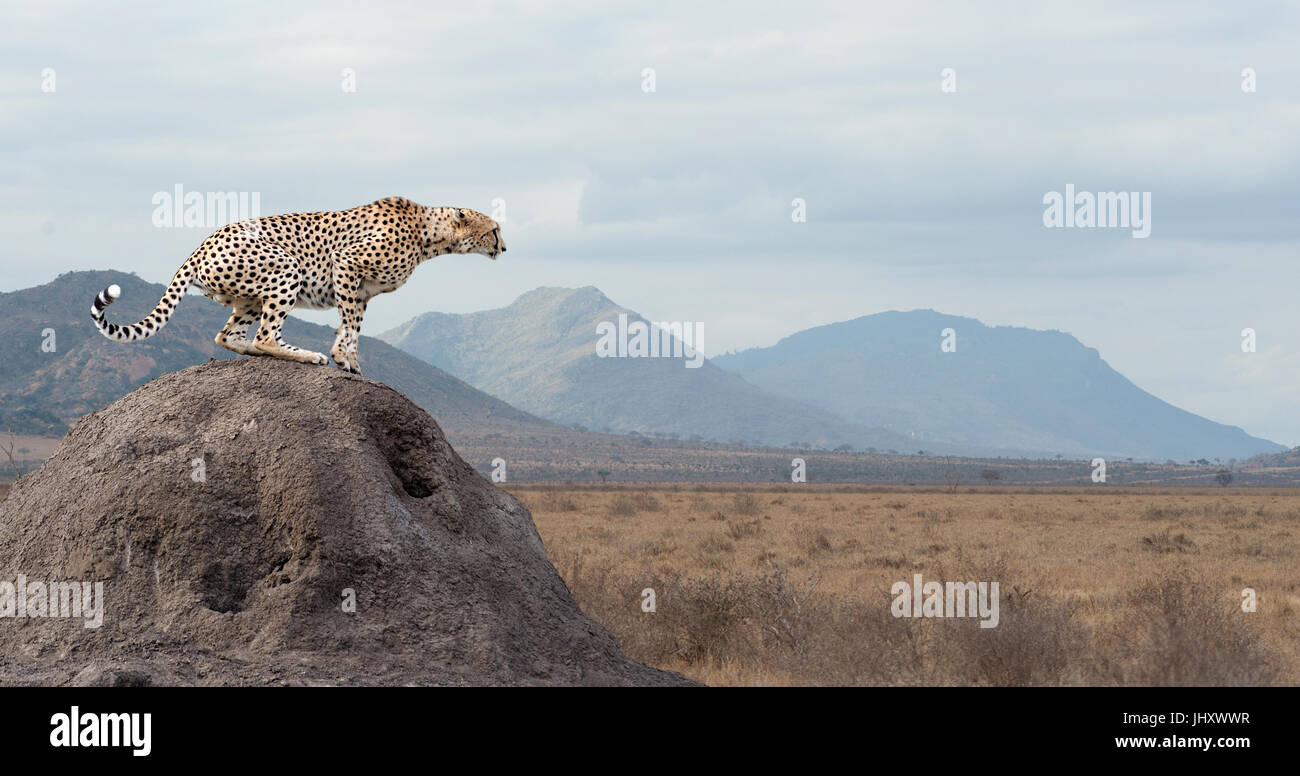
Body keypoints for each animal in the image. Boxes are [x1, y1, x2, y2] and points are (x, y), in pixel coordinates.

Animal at [90, 196, 504, 374]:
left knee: (229, 335)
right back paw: (305, 355)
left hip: (248, 297)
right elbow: (349, 325)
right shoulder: (346, 264)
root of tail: (202, 243)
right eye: (495, 230)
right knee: (265, 336)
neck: (428, 235)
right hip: (286, 268)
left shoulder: (362, 292)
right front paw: (340, 358)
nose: (504, 247)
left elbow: (354, 327)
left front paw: (353, 362)